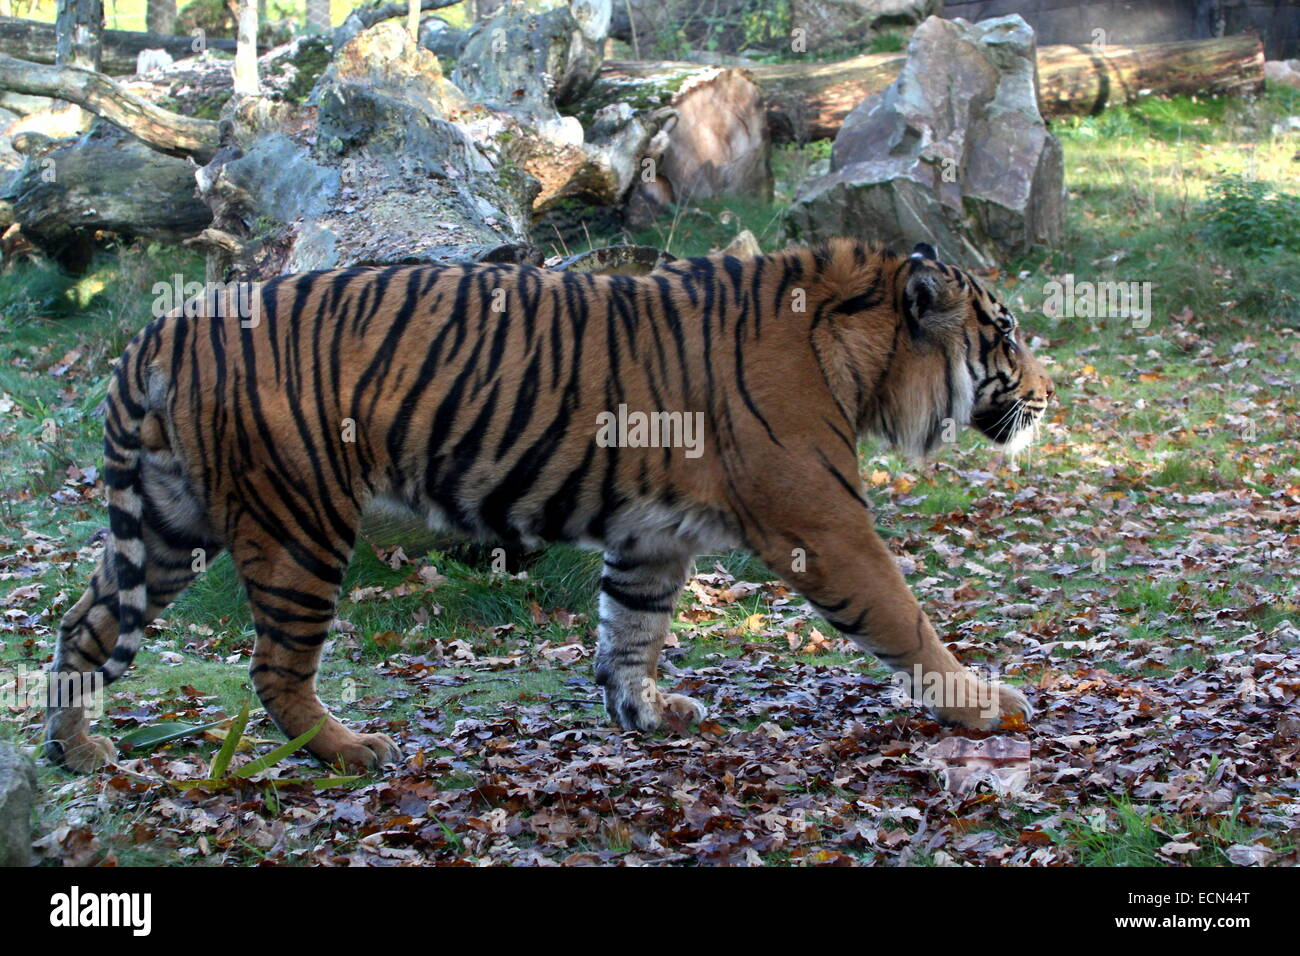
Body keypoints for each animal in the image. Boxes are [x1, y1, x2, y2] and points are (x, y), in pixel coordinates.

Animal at [45, 238, 1054, 773]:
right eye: (1004, 335)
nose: (1048, 395)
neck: (860, 357)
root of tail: (166, 323)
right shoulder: (826, 524)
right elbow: (906, 618)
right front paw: (984, 704)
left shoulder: (650, 536)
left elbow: (631, 630)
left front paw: (645, 713)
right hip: (300, 522)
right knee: (272, 668)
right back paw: (350, 750)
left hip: (168, 523)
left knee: (84, 627)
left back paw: (76, 750)